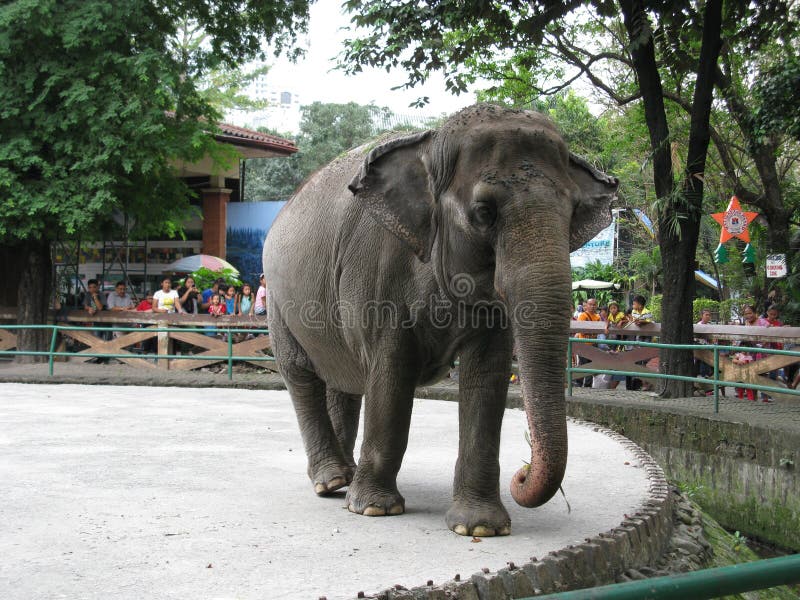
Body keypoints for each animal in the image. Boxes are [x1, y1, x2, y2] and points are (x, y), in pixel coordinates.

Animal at [263, 104, 618, 536]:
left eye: (572, 214)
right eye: (484, 213)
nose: (520, 473)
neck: (430, 146)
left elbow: (487, 374)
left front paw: (479, 528)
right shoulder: (379, 271)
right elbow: (391, 373)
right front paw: (375, 509)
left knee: (343, 382)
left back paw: (345, 477)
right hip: (277, 300)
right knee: (301, 375)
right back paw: (331, 483)